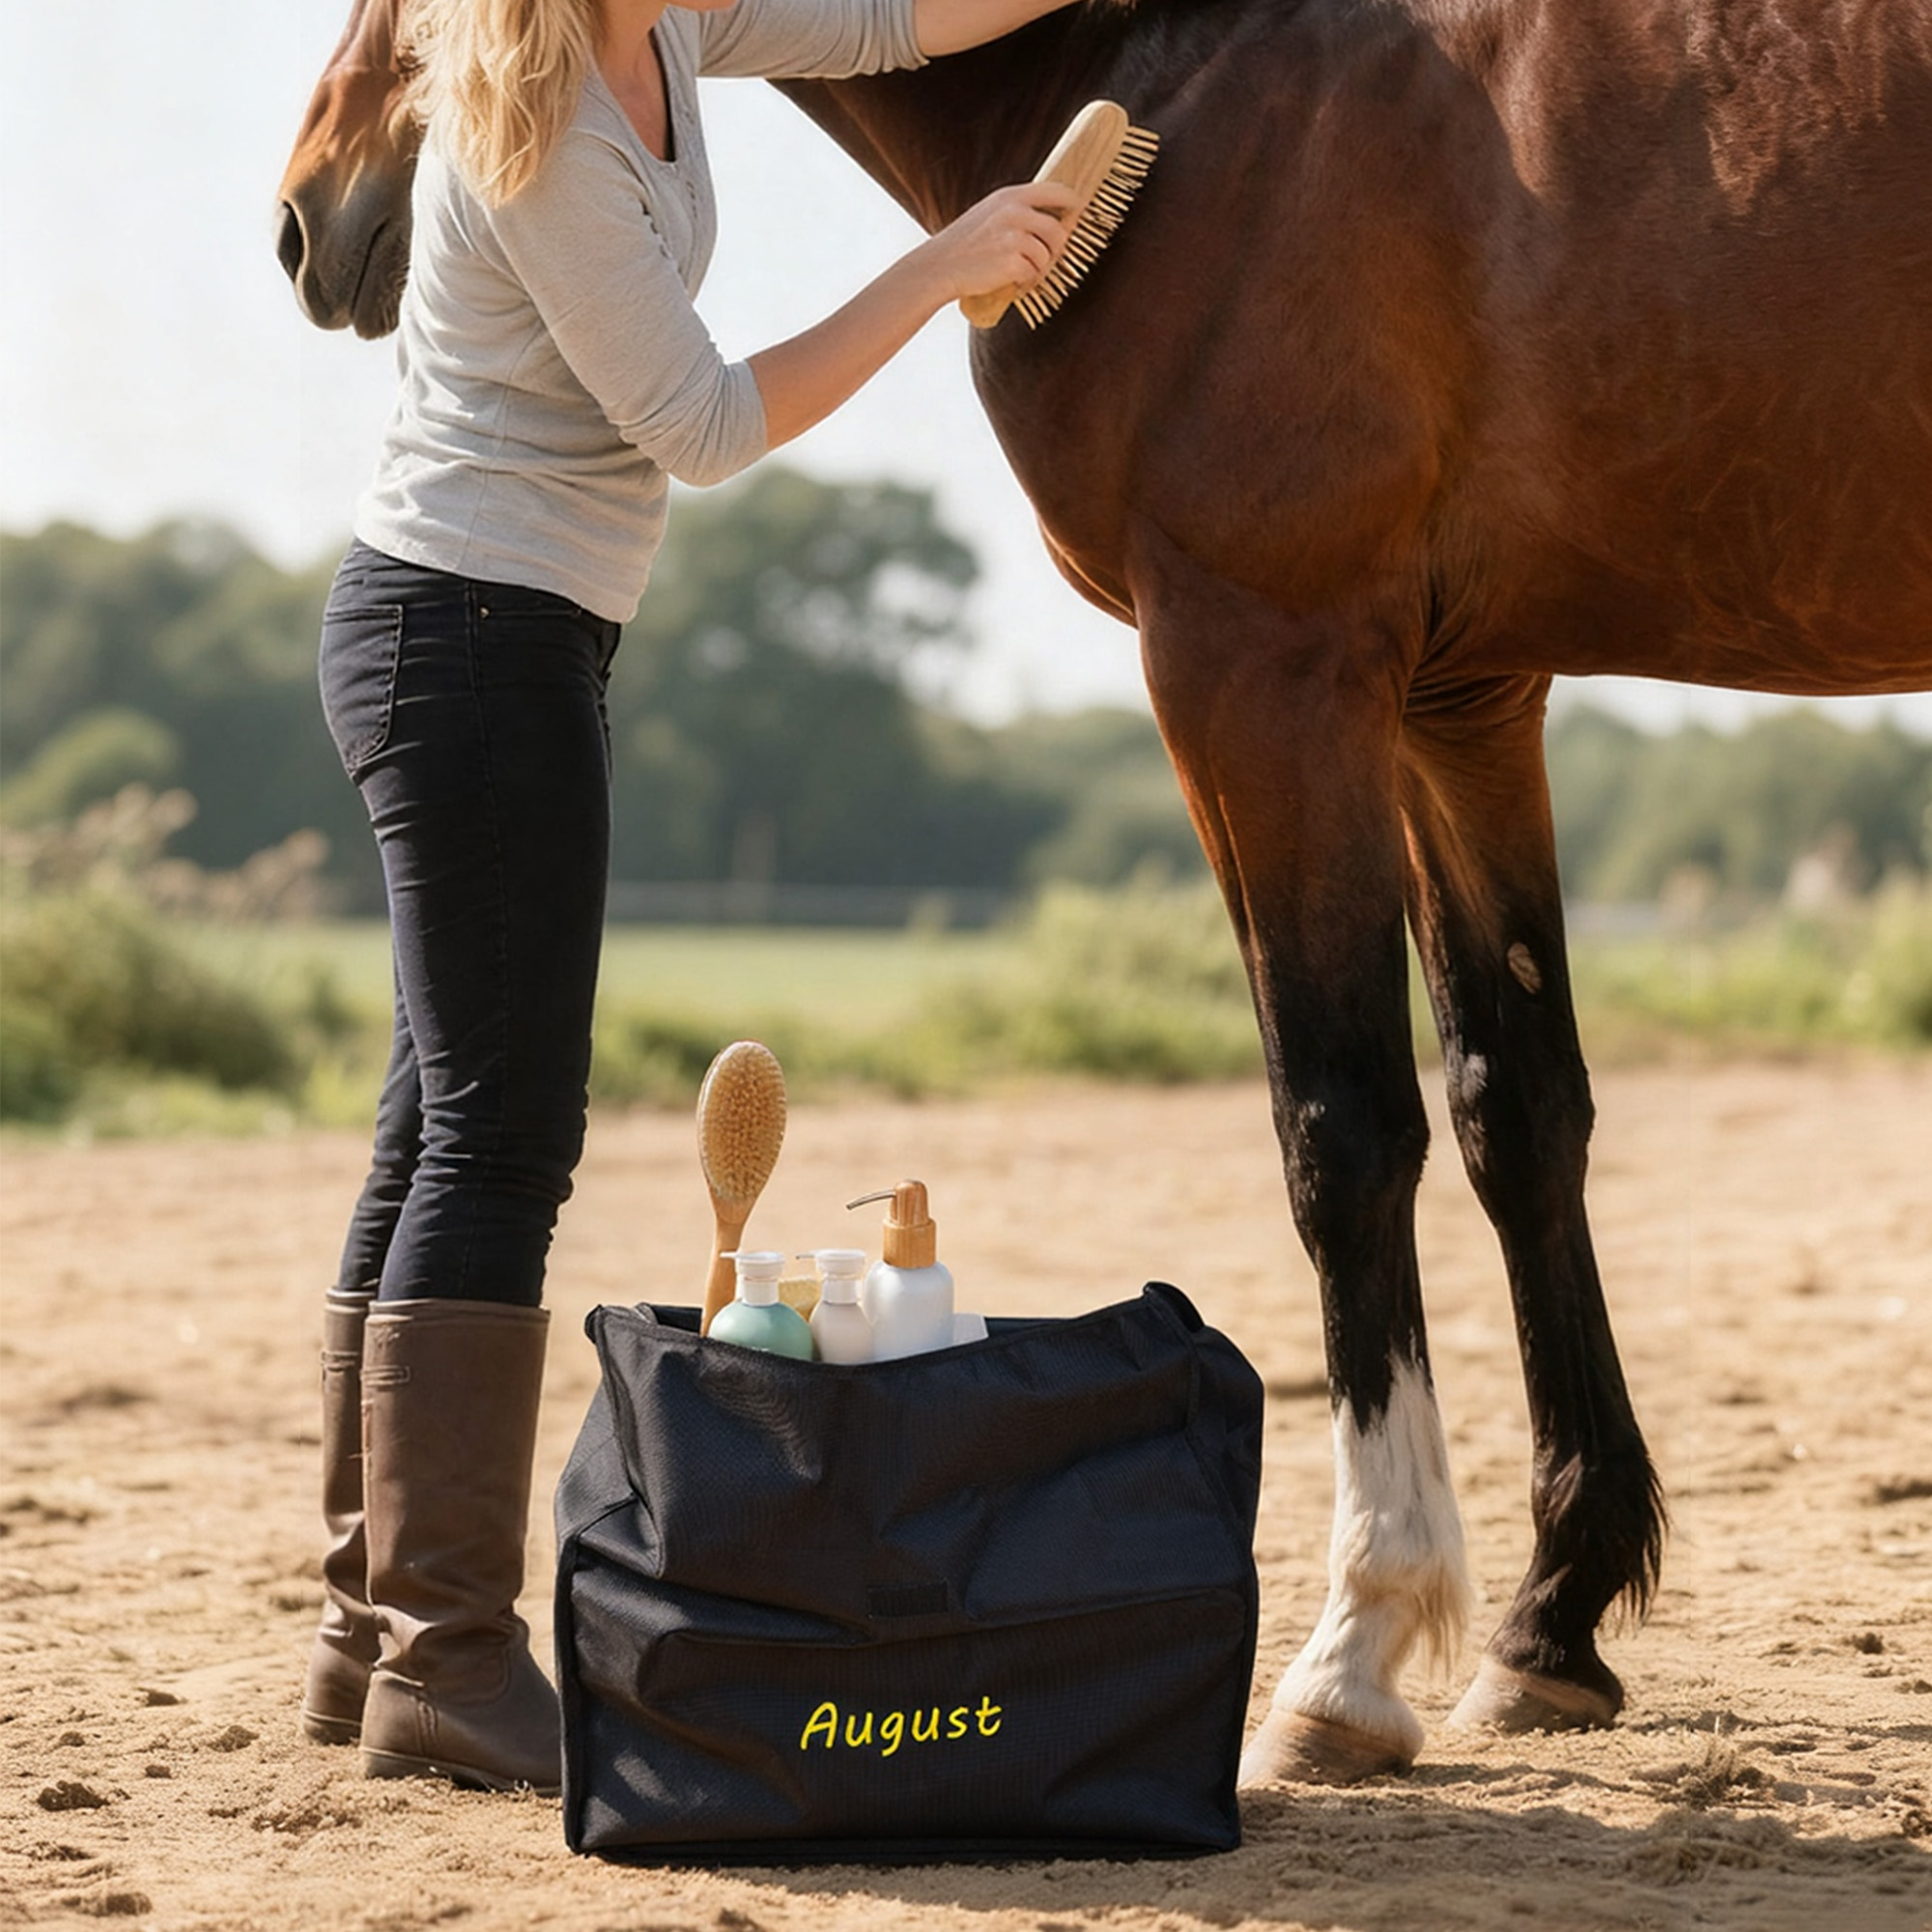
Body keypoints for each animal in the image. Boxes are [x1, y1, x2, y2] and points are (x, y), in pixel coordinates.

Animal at [276, 0, 1932, 1785]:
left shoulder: (1260, 664)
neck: (1208, 80)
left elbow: (1342, 1131)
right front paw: (1550, 1618)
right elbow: (1516, 1113)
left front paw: (1354, 1652)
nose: (311, 219)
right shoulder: (1461, 702)